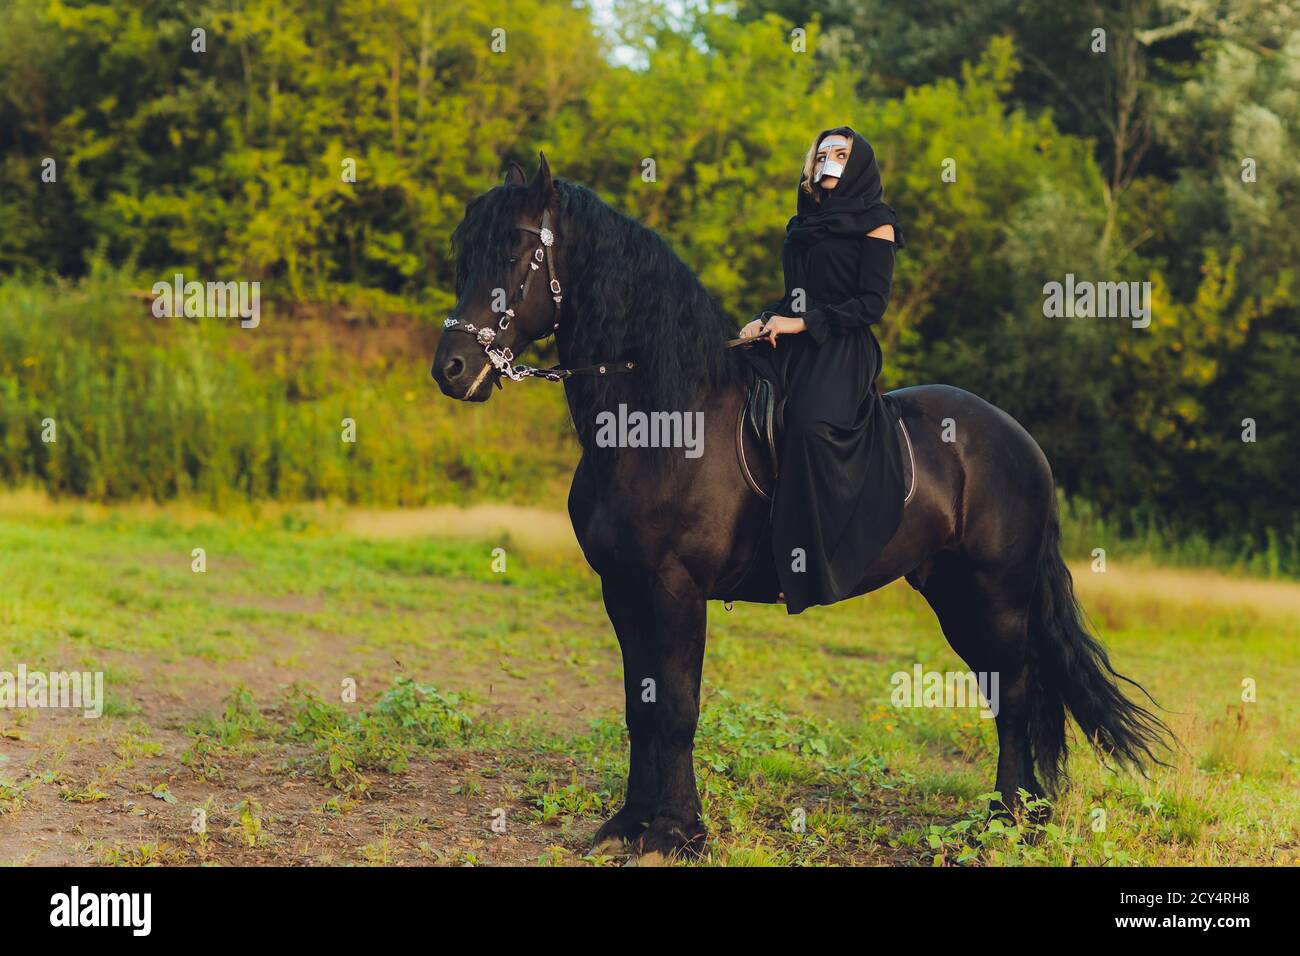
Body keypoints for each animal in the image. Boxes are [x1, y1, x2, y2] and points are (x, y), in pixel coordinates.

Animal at [432, 155, 1170, 862]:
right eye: (465, 251)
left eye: (516, 254)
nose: (452, 369)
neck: (660, 421)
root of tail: (1022, 441)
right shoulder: (624, 586)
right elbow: (641, 708)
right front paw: (629, 825)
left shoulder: (676, 587)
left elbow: (676, 709)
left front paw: (676, 834)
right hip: (955, 593)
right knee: (1008, 693)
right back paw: (1022, 817)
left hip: (999, 595)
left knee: (1016, 697)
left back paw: (1003, 824)